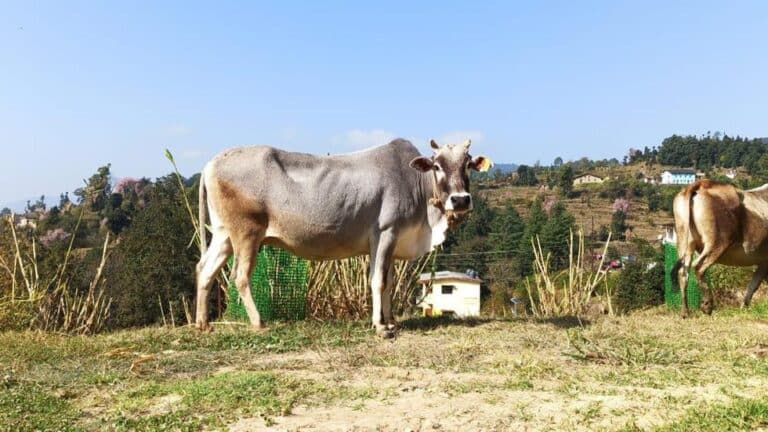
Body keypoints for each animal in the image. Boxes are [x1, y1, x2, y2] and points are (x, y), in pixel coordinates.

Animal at [195, 138, 492, 337]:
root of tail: (211, 163)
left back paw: (203, 323)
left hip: (224, 235)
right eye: (437, 166)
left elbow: (389, 282)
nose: (460, 200)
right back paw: (258, 322)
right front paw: (380, 326)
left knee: (205, 269)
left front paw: (391, 320)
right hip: (247, 234)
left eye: (468, 164)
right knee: (240, 276)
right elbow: (378, 281)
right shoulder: (385, 233)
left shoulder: (391, 243)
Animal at [672, 179, 768, 317]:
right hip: (718, 241)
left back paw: (685, 312)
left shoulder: (764, 261)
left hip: (684, 240)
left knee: (683, 272)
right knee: (699, 266)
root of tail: (702, 183)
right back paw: (707, 305)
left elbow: (754, 284)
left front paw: (744, 307)